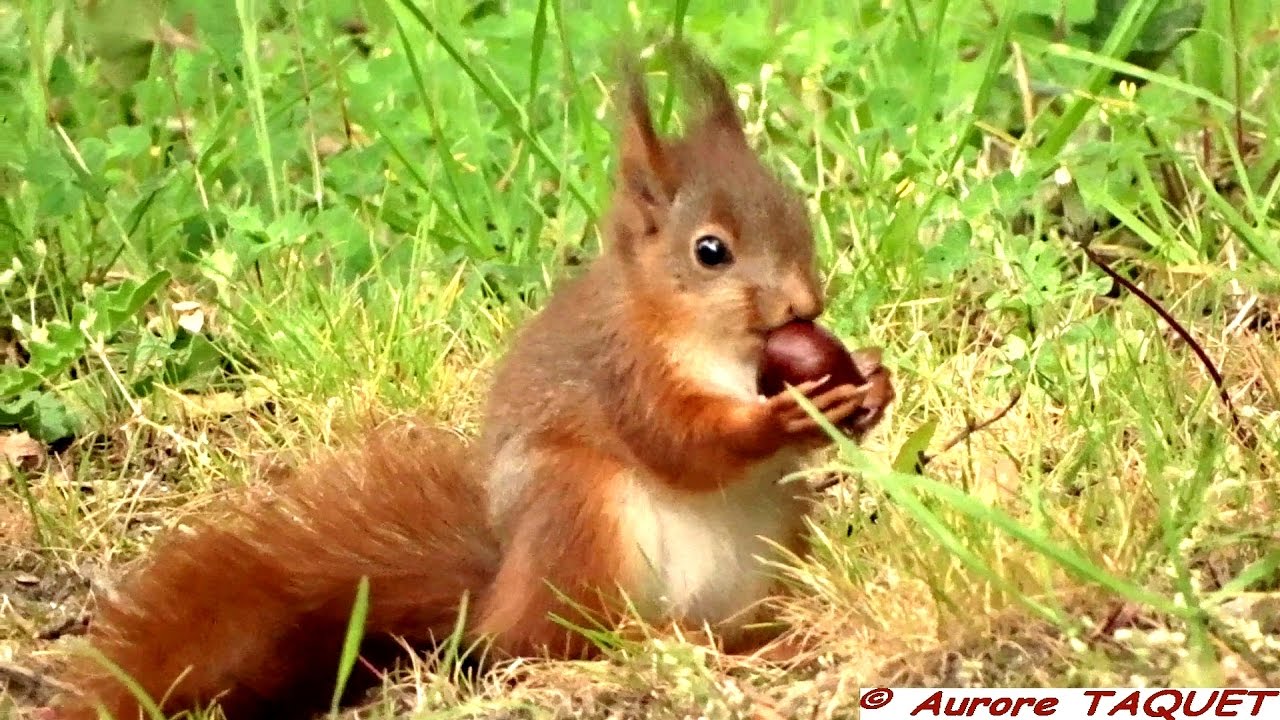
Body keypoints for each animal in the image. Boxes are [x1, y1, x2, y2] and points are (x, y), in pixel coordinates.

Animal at [51, 44, 895, 720]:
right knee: (559, 640)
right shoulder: (623, 374)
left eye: (797, 214)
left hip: (771, 535)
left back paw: (758, 641)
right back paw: (660, 640)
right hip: (578, 513)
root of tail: (494, 600)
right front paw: (784, 416)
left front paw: (871, 386)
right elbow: (680, 443)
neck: (716, 345)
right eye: (710, 251)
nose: (804, 306)